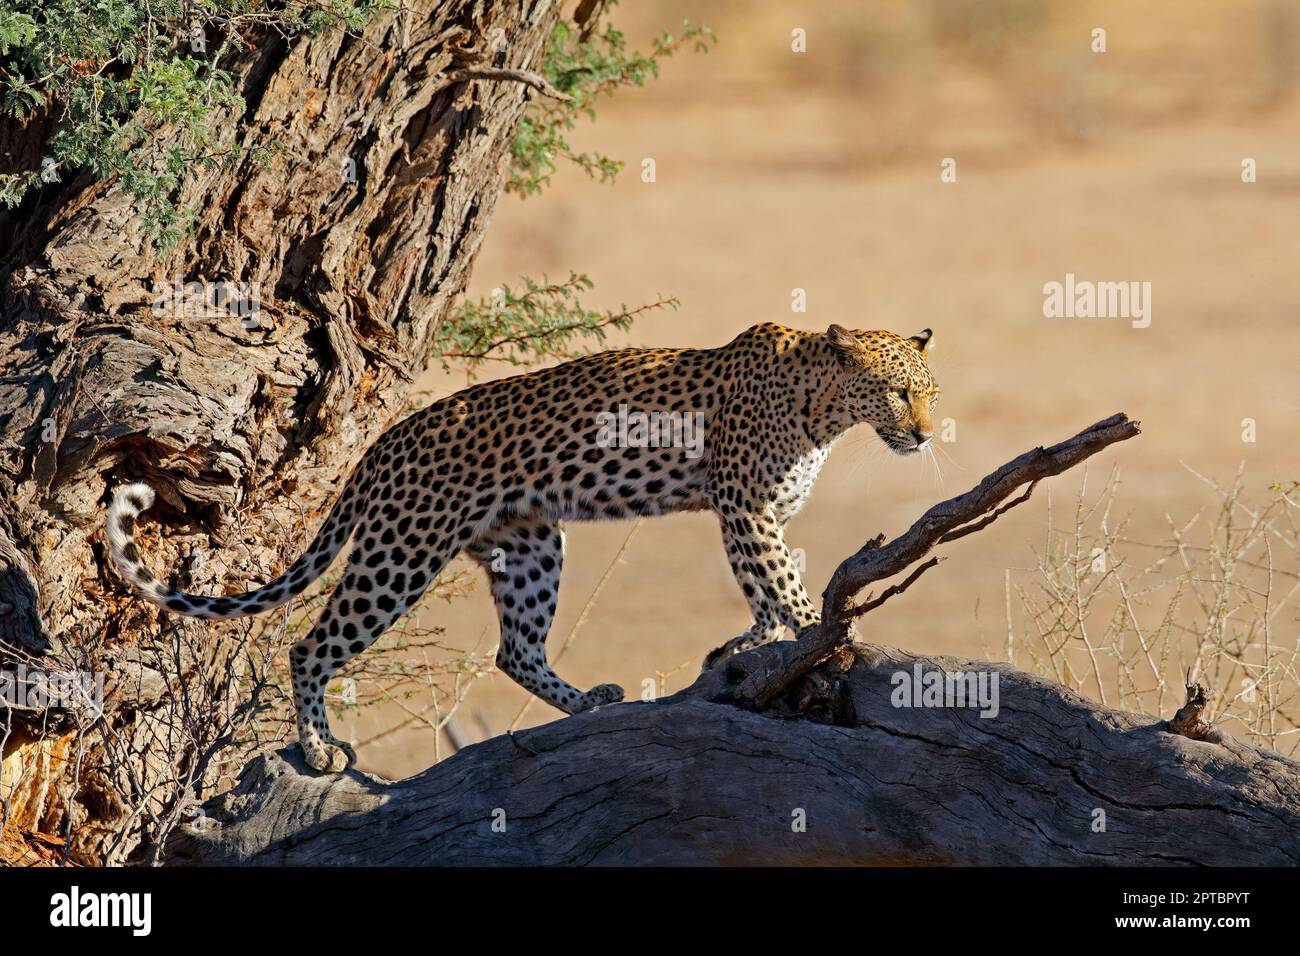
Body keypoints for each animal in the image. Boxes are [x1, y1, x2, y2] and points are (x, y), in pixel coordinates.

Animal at [107, 322, 939, 772]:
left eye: (930, 390)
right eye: (898, 392)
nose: (930, 434)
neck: (823, 412)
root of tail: (383, 442)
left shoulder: (753, 515)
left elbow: (766, 589)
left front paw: (758, 641)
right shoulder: (745, 505)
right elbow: (784, 588)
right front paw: (819, 636)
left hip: (531, 544)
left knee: (515, 650)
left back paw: (588, 704)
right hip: (401, 551)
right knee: (313, 646)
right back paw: (317, 749)